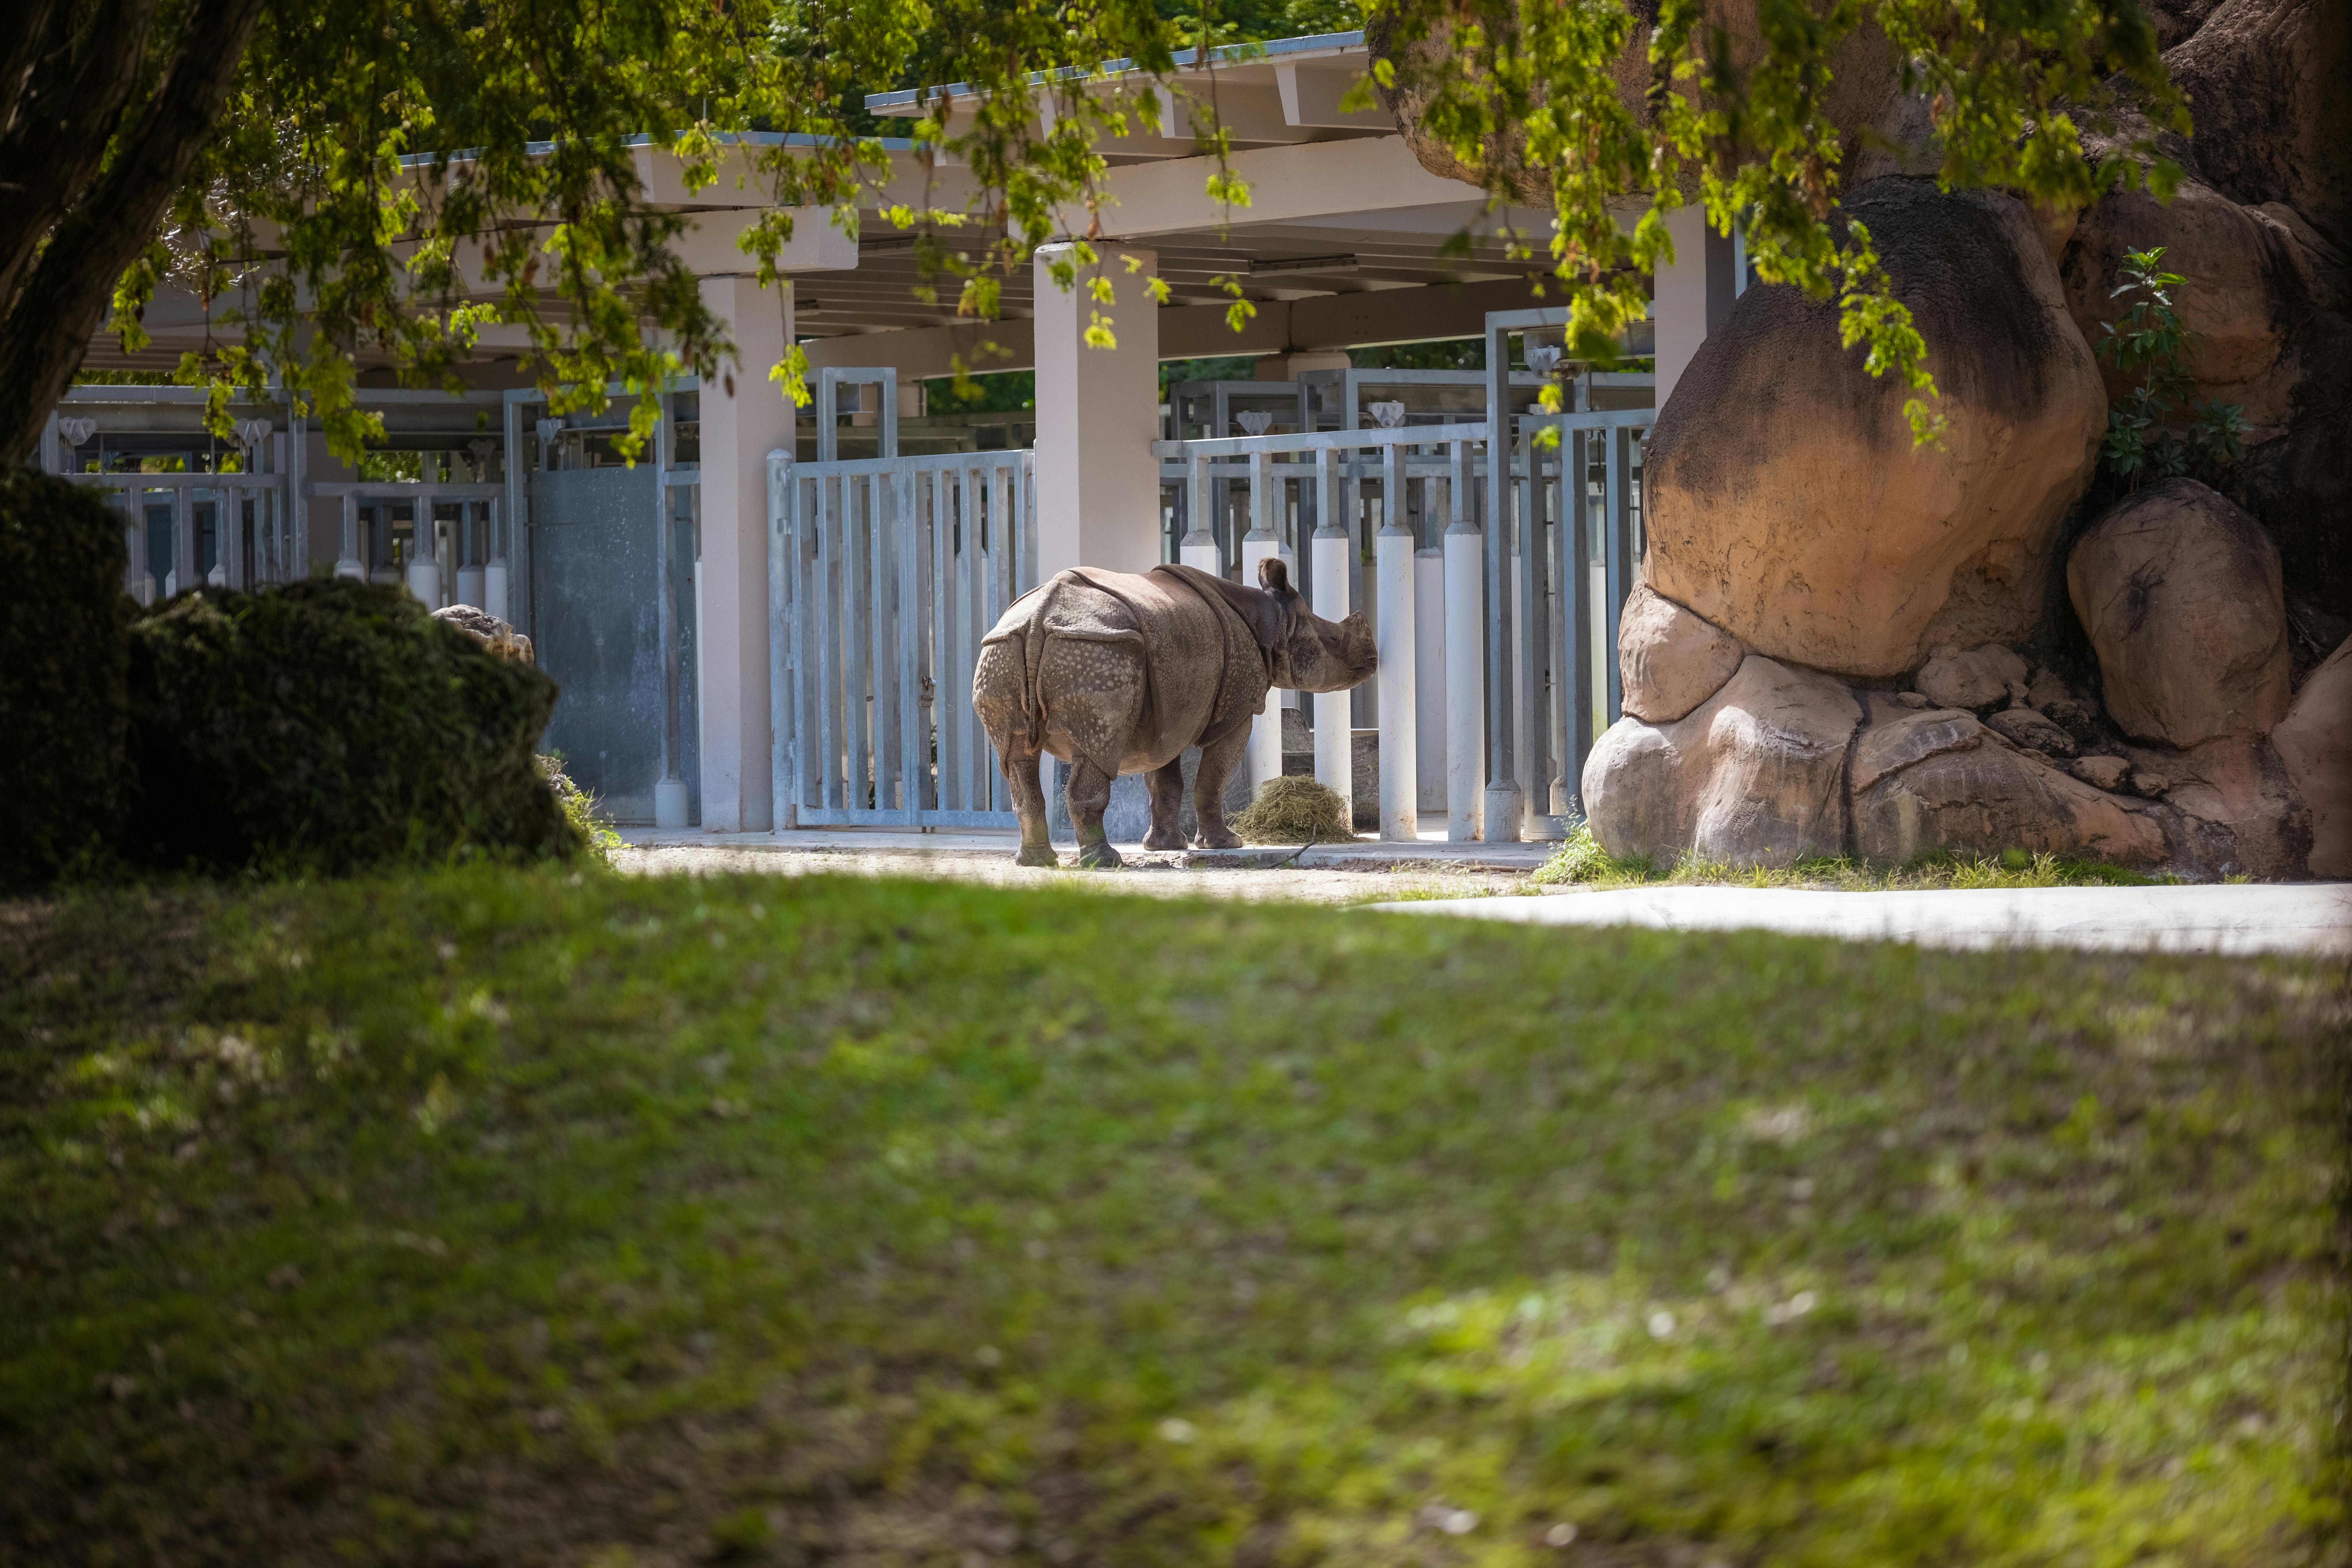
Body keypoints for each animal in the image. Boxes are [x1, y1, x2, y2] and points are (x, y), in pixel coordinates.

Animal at [973, 557, 1376, 867]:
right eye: (1334, 640)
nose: (1373, 660)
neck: (1274, 621)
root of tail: (1040, 615)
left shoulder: (1168, 711)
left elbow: (1165, 780)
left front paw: (1164, 846)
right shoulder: (1237, 710)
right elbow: (1212, 777)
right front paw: (1226, 844)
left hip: (1004, 648)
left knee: (1016, 758)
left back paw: (1036, 862)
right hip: (1097, 649)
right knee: (1095, 749)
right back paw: (1104, 863)